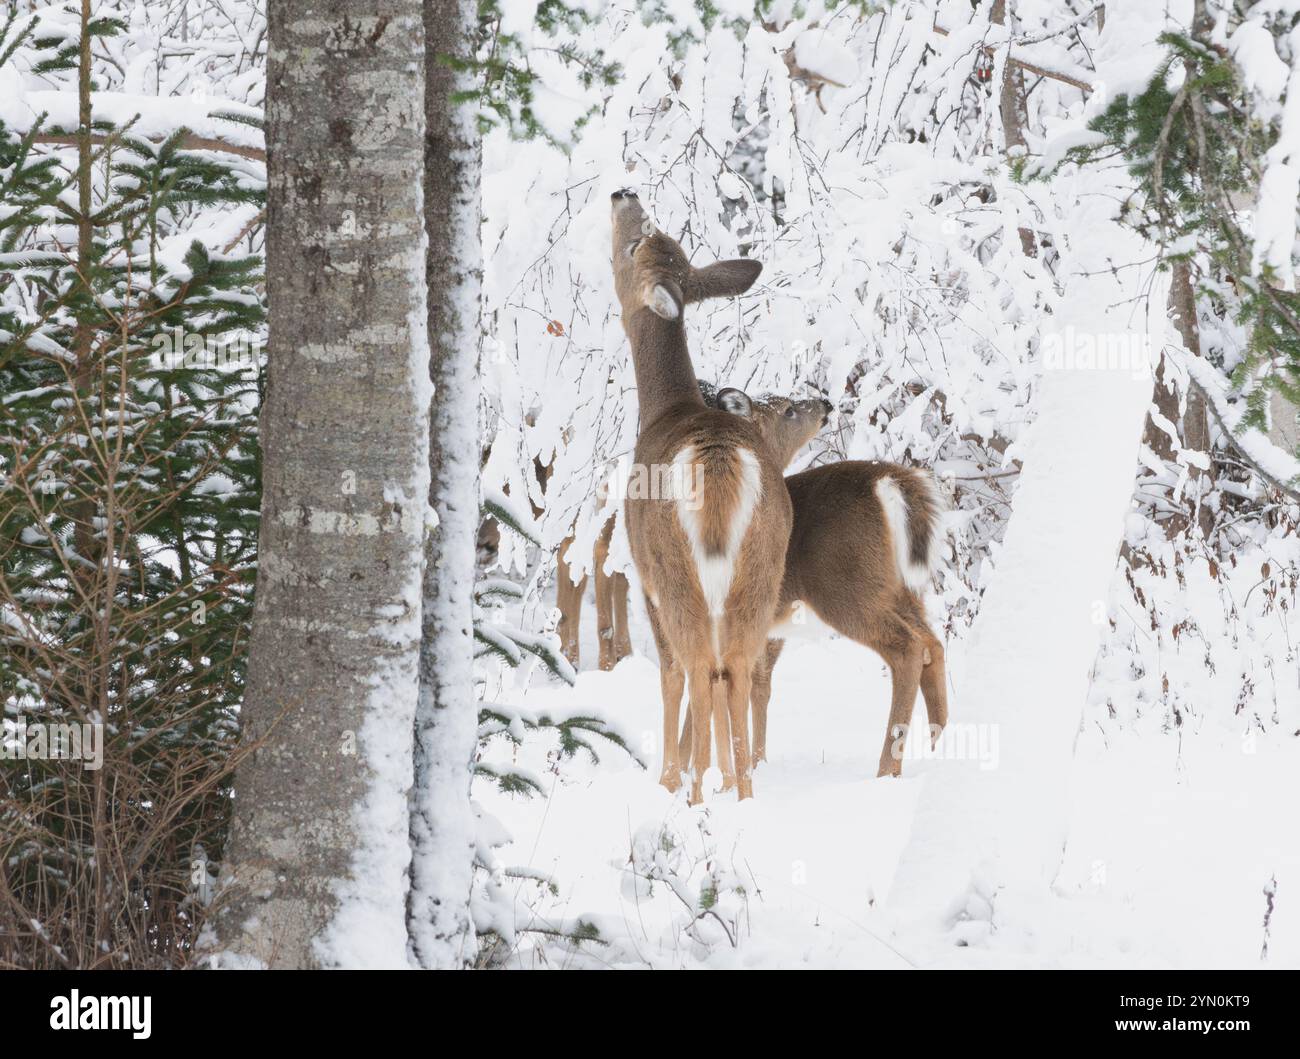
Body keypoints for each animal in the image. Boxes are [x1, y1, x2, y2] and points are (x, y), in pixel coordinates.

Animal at [609, 188, 788, 803]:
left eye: (637, 245)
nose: (623, 192)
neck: (668, 408)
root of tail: (718, 463)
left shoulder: (643, 575)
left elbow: (668, 676)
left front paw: (667, 778)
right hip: (763, 570)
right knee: (736, 667)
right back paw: (741, 791)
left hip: (674, 570)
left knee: (697, 668)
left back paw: (692, 793)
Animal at [674, 393, 950, 781]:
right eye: (787, 409)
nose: (825, 404)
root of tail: (889, 481)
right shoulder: (768, 632)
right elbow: (758, 687)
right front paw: (756, 764)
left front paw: (683, 773)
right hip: (901, 588)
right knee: (932, 643)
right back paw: (940, 749)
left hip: (845, 587)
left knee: (908, 648)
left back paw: (886, 769)